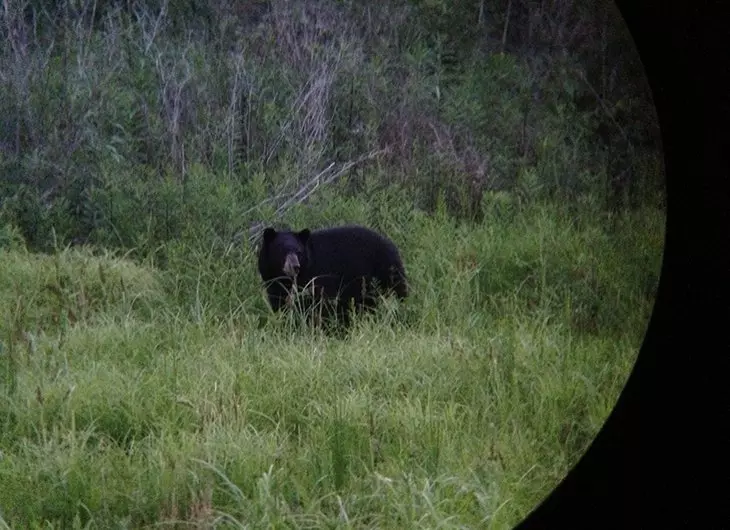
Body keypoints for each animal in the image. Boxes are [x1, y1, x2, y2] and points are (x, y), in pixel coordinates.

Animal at [255, 223, 404, 326]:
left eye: (299, 252)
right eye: (282, 250)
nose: (295, 267)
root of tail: (391, 245)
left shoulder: (318, 278)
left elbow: (319, 306)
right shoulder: (273, 283)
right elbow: (280, 303)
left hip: (385, 273)